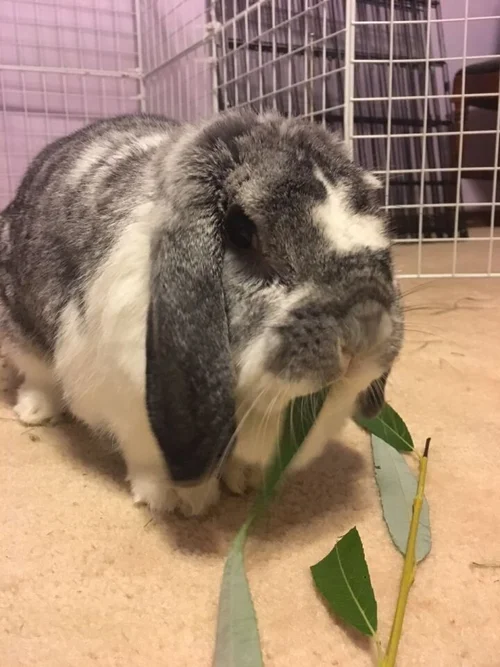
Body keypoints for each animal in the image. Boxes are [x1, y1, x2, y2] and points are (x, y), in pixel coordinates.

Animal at [0, 110, 403, 516]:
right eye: (241, 233)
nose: (367, 325)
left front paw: (245, 482)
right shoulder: (129, 405)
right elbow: (149, 458)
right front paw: (179, 502)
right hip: (19, 330)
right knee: (37, 375)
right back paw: (34, 413)